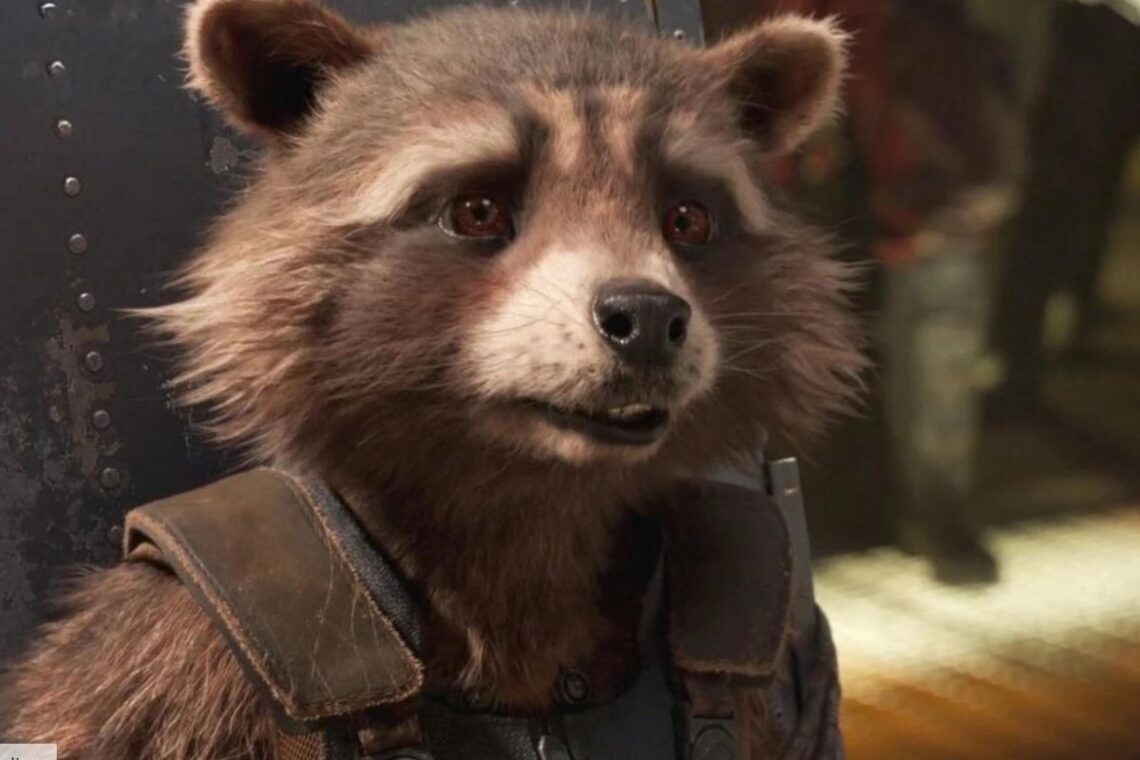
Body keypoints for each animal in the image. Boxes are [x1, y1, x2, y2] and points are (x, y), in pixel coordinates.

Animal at [1, 1, 863, 757]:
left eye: (687, 220)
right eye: (478, 210)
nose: (649, 317)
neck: (534, 489)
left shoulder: (776, 654)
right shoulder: (168, 650)